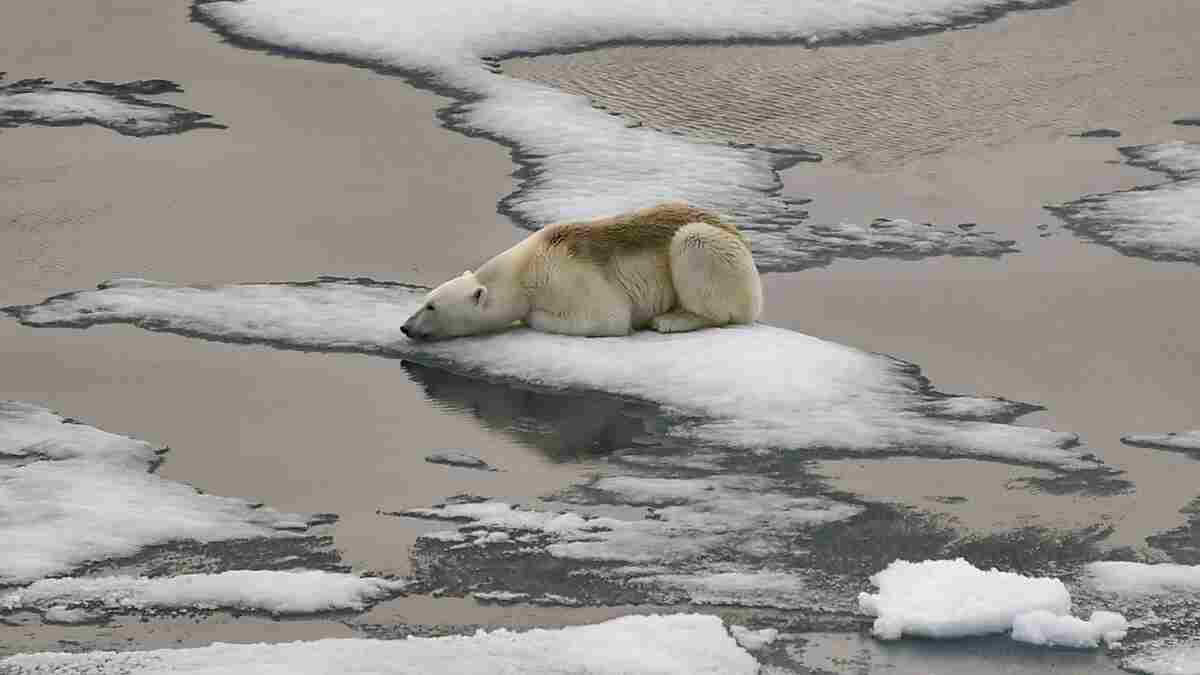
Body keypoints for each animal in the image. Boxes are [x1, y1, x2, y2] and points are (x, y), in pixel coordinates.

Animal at [401, 202, 762, 340]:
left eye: (431, 307)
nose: (405, 327)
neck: (528, 268)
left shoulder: (570, 275)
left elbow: (607, 317)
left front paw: (533, 316)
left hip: (717, 251)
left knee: (694, 245)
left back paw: (672, 319)